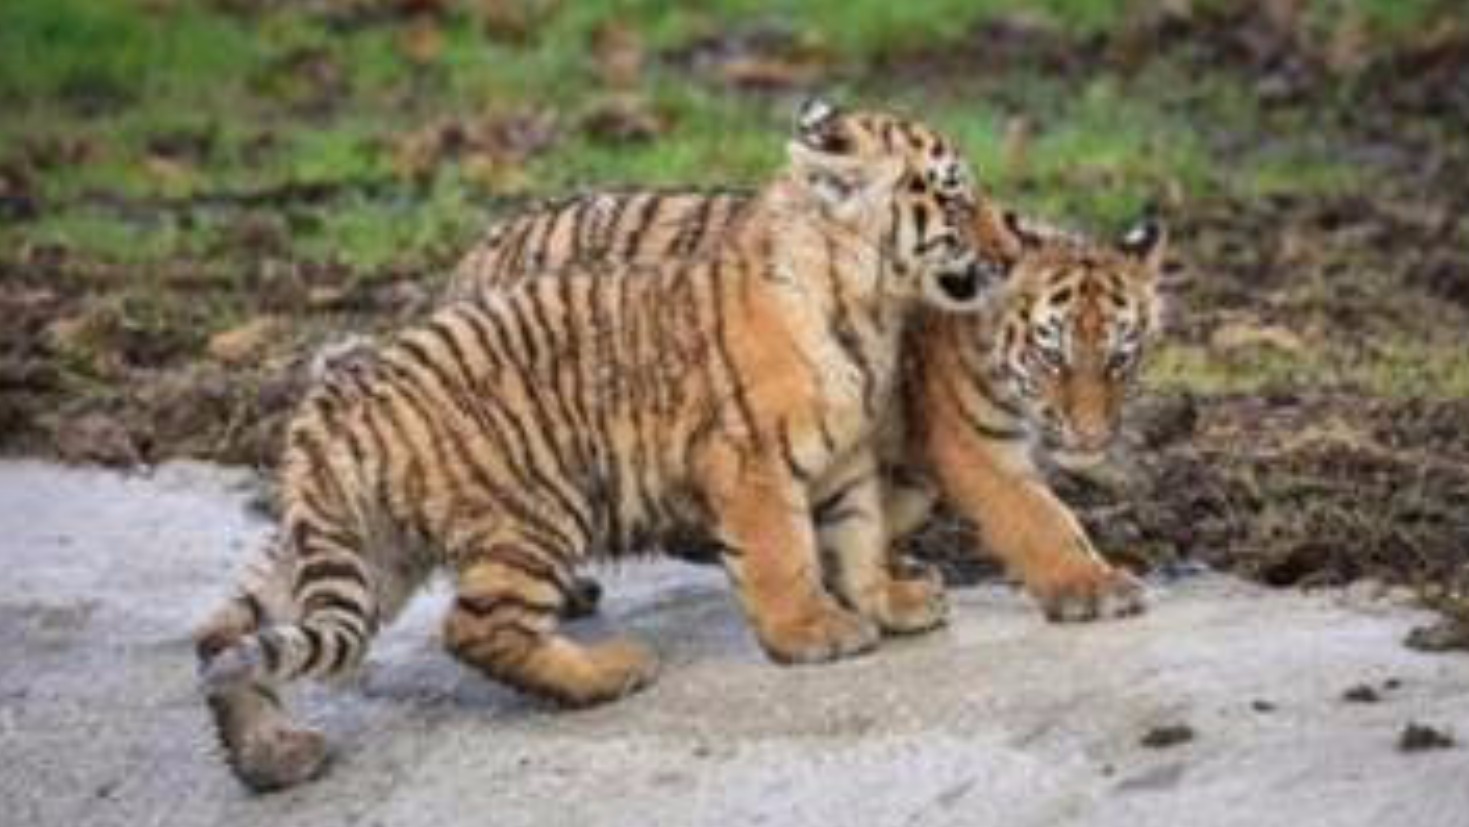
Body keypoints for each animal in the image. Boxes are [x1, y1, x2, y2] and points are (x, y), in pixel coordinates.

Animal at [193, 100, 1006, 791]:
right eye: (954, 199)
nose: (1007, 254)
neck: (870, 307)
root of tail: (333, 407)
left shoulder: (843, 460)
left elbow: (858, 537)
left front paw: (893, 601)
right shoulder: (752, 464)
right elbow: (785, 556)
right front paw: (811, 632)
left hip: (369, 547)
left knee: (226, 631)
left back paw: (270, 754)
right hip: (540, 503)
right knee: (475, 626)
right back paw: (611, 671)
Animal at [449, 189, 1165, 624]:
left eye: (1119, 359)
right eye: (1052, 358)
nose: (1092, 437)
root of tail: (481, 247)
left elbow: (883, 509)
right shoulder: (975, 446)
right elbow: (1040, 519)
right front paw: (1095, 586)